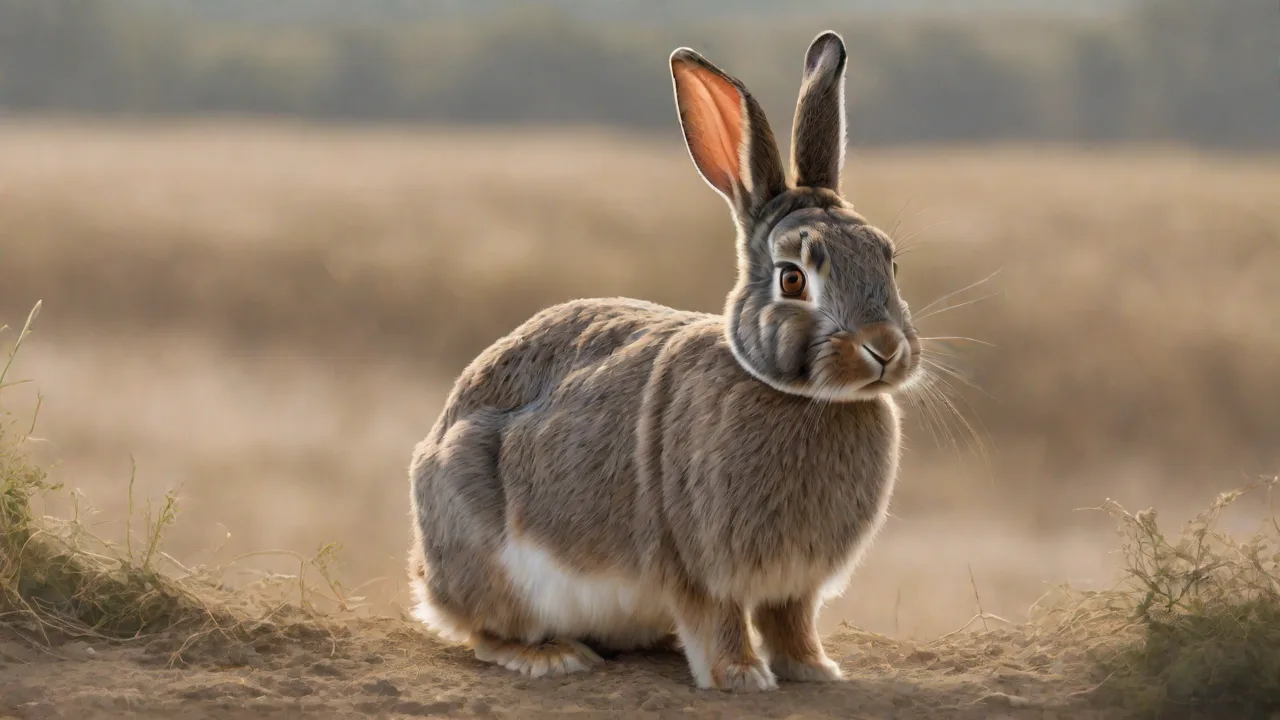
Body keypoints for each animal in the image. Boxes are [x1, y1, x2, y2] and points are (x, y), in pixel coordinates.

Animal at [407, 30, 922, 692]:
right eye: (792, 278)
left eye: (889, 261)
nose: (885, 348)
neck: (800, 396)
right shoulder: (698, 566)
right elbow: (720, 620)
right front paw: (741, 678)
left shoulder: (793, 586)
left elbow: (791, 622)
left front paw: (815, 670)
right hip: (491, 553)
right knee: (486, 631)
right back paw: (551, 657)